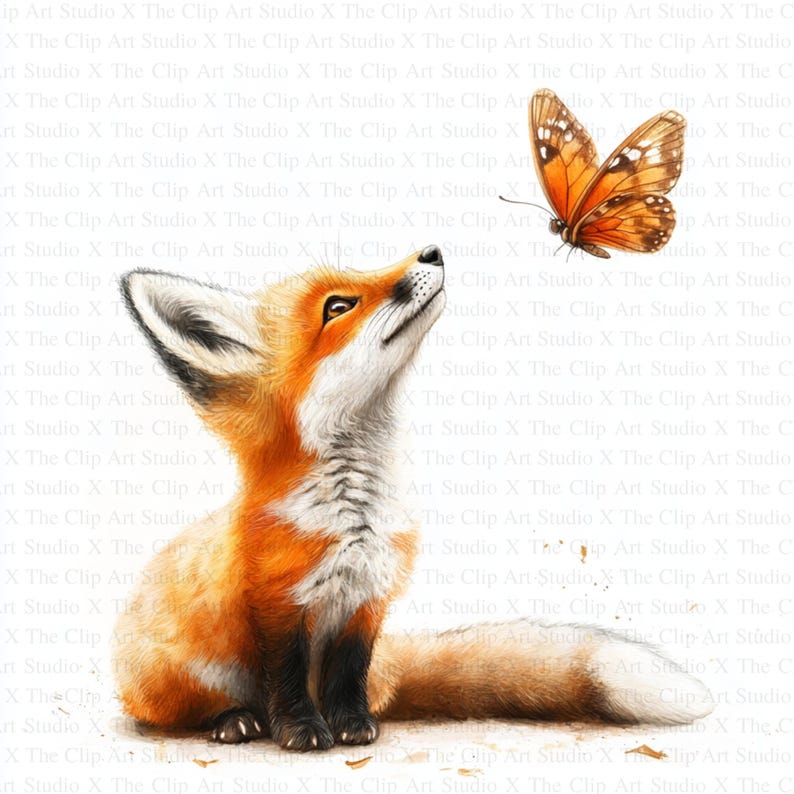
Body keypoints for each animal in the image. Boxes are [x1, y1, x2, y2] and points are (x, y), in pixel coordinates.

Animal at [113, 245, 713, 751]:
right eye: (338, 306)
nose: (432, 251)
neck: (357, 521)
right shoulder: (277, 605)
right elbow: (285, 679)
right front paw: (302, 732)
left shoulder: (366, 603)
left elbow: (347, 679)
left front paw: (352, 726)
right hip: (172, 676)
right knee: (197, 709)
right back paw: (234, 720)